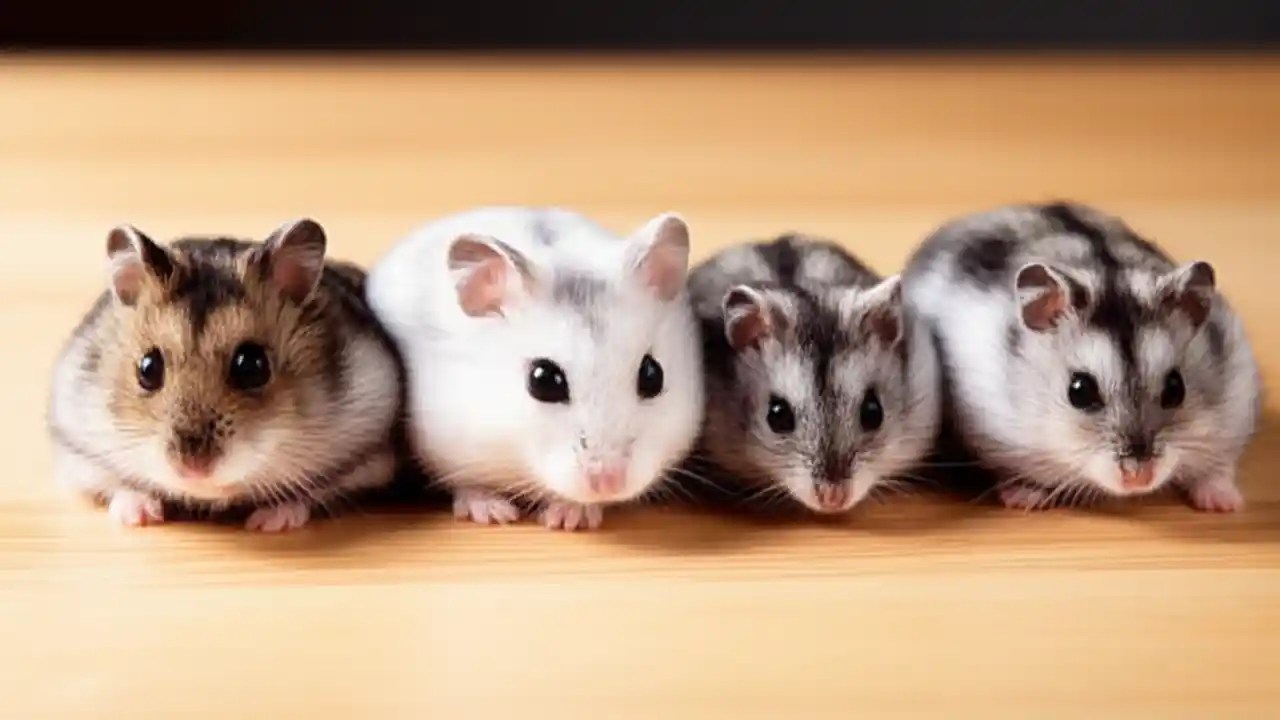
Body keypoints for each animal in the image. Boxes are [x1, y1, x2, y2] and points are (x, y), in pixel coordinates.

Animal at [46, 219, 403, 531]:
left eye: (252, 366)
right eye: (147, 368)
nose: (194, 470)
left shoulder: (365, 455)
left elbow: (309, 493)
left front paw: (269, 523)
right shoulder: (78, 451)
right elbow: (119, 485)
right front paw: (138, 516)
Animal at [365, 207, 704, 531]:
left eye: (652, 375)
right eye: (543, 381)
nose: (610, 483)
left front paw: (570, 518)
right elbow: (467, 483)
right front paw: (496, 514)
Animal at [902, 201, 1262, 512]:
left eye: (1176, 388)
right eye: (1079, 391)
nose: (1139, 479)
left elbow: (1218, 466)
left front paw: (1225, 504)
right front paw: (1024, 499)